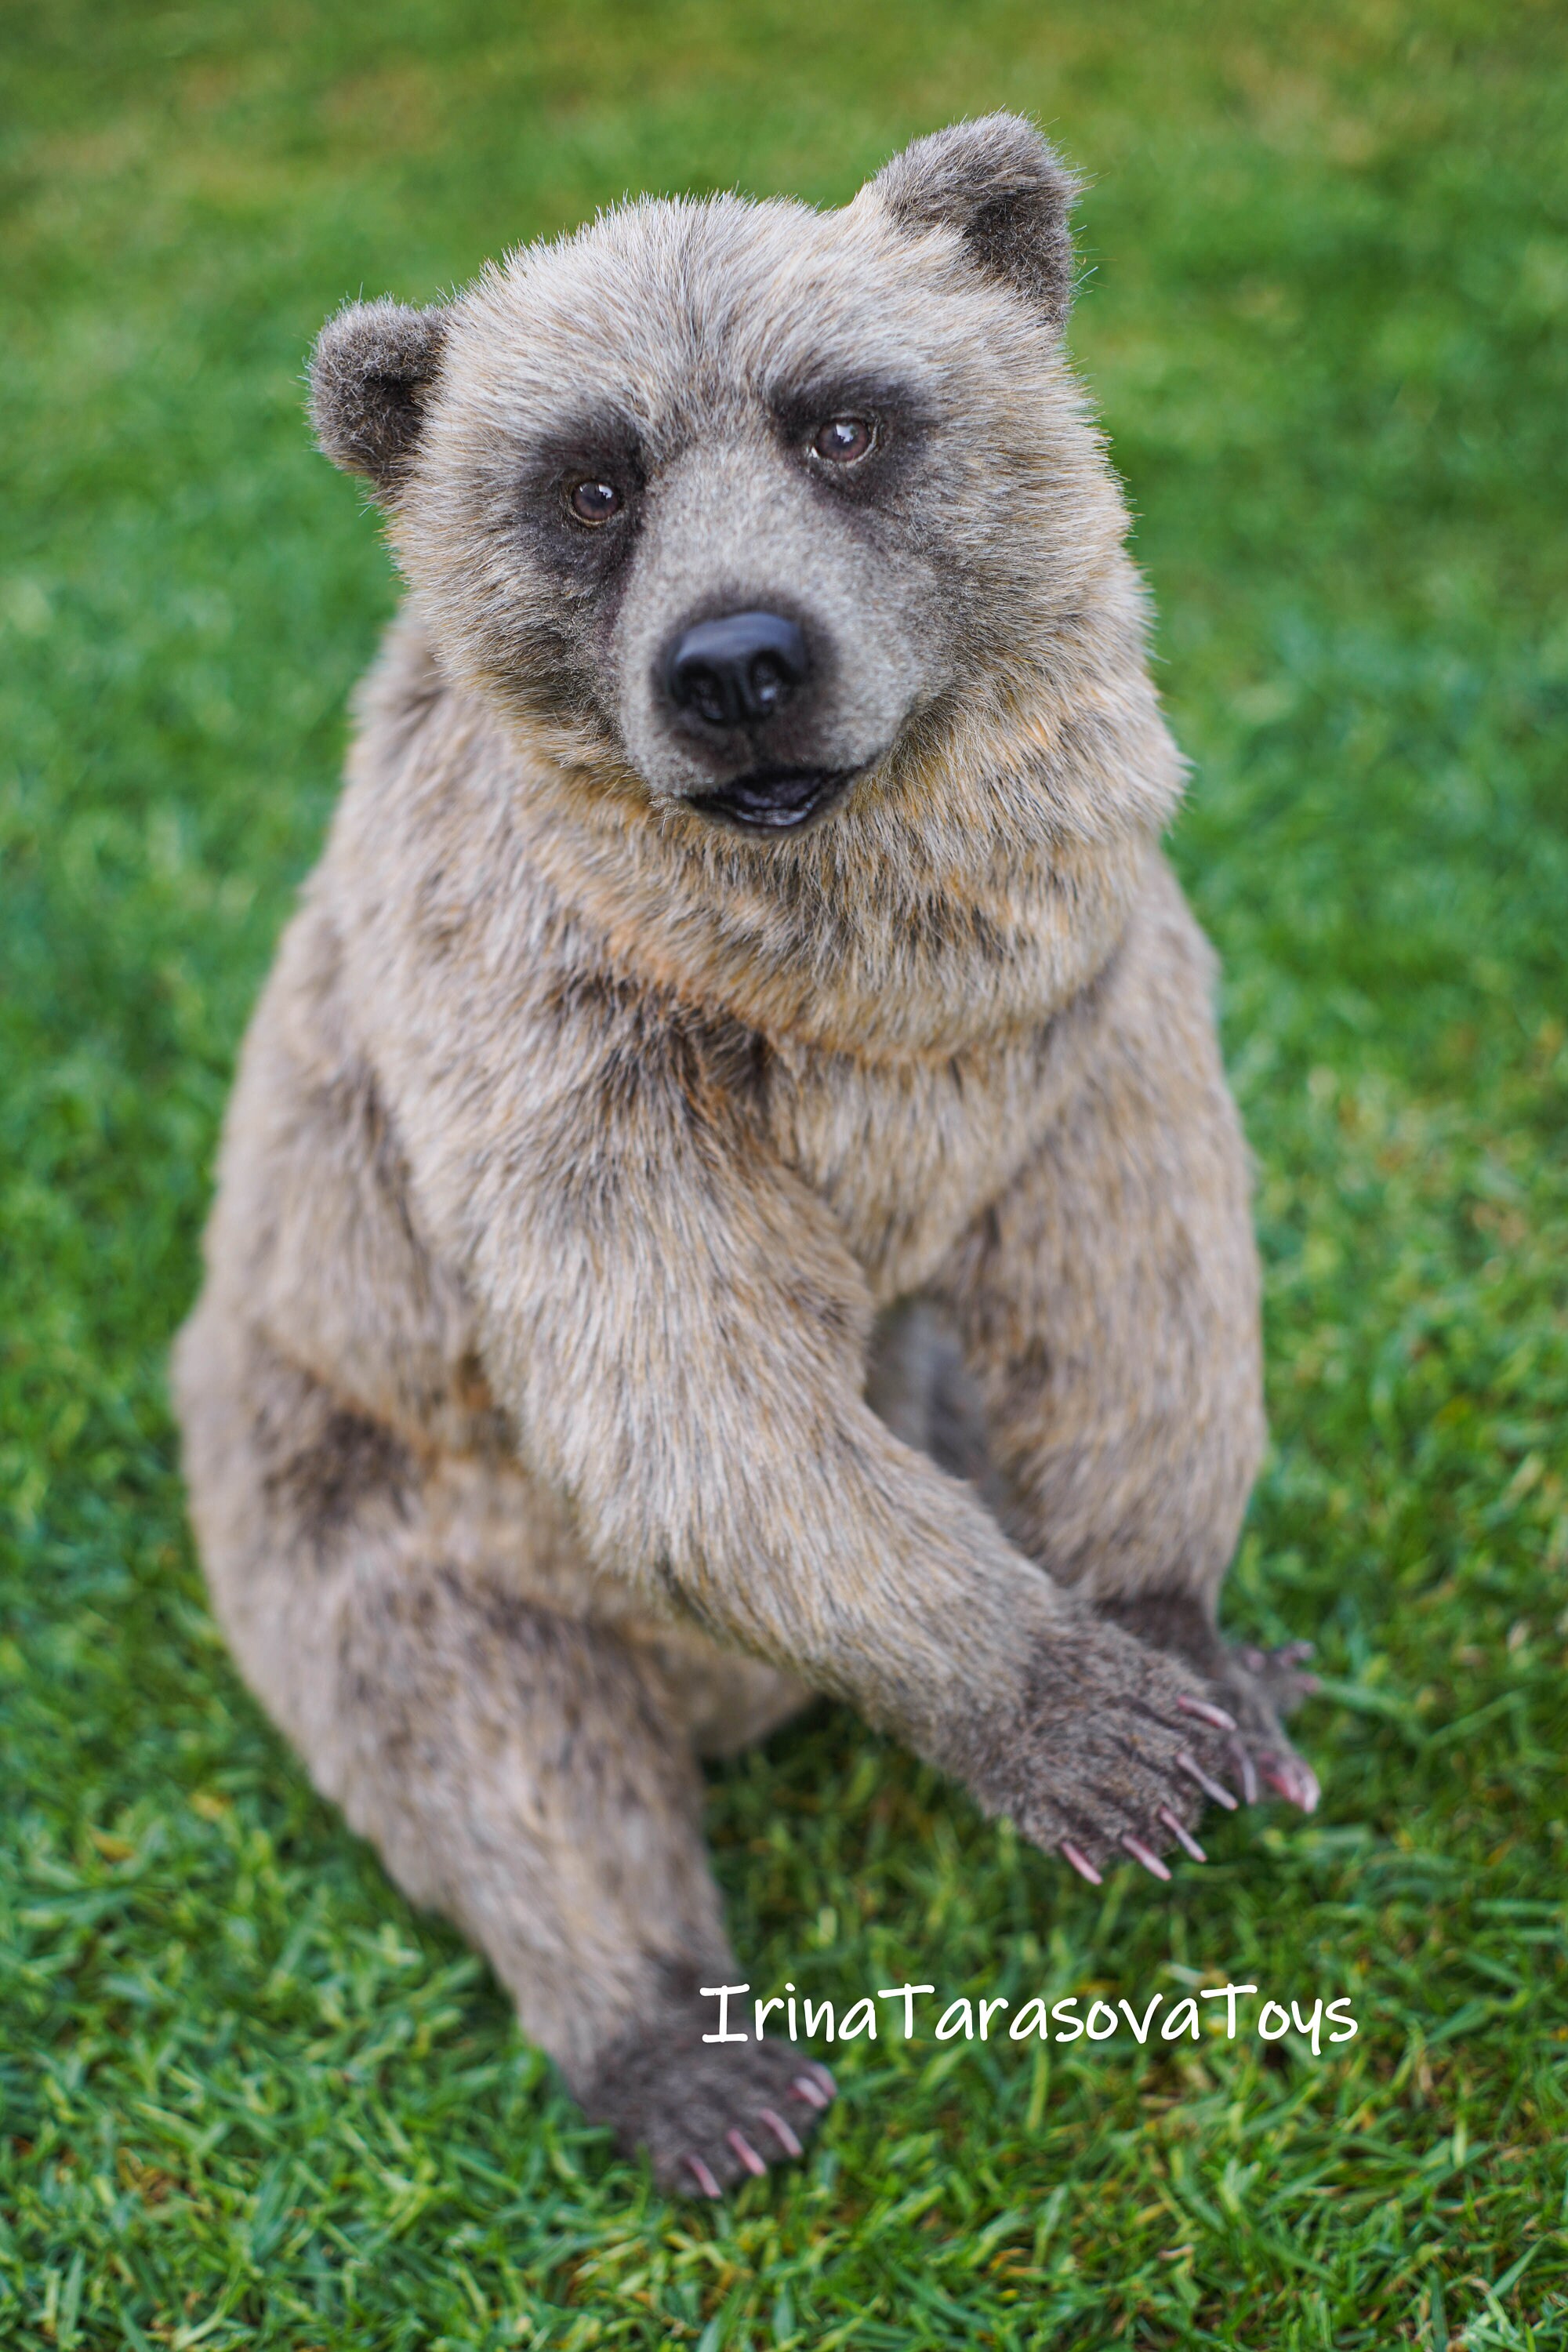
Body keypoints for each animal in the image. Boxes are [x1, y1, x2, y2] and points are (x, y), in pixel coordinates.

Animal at [173, 115, 1319, 2200]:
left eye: (841, 420)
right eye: (589, 481)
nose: (736, 664)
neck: (852, 984)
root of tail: (737, 1710)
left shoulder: (1084, 1000)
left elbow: (1137, 1280)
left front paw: (1188, 1646)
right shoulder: (546, 1046)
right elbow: (685, 1401)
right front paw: (1078, 1727)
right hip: (358, 1494)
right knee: (497, 1746)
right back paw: (690, 2062)